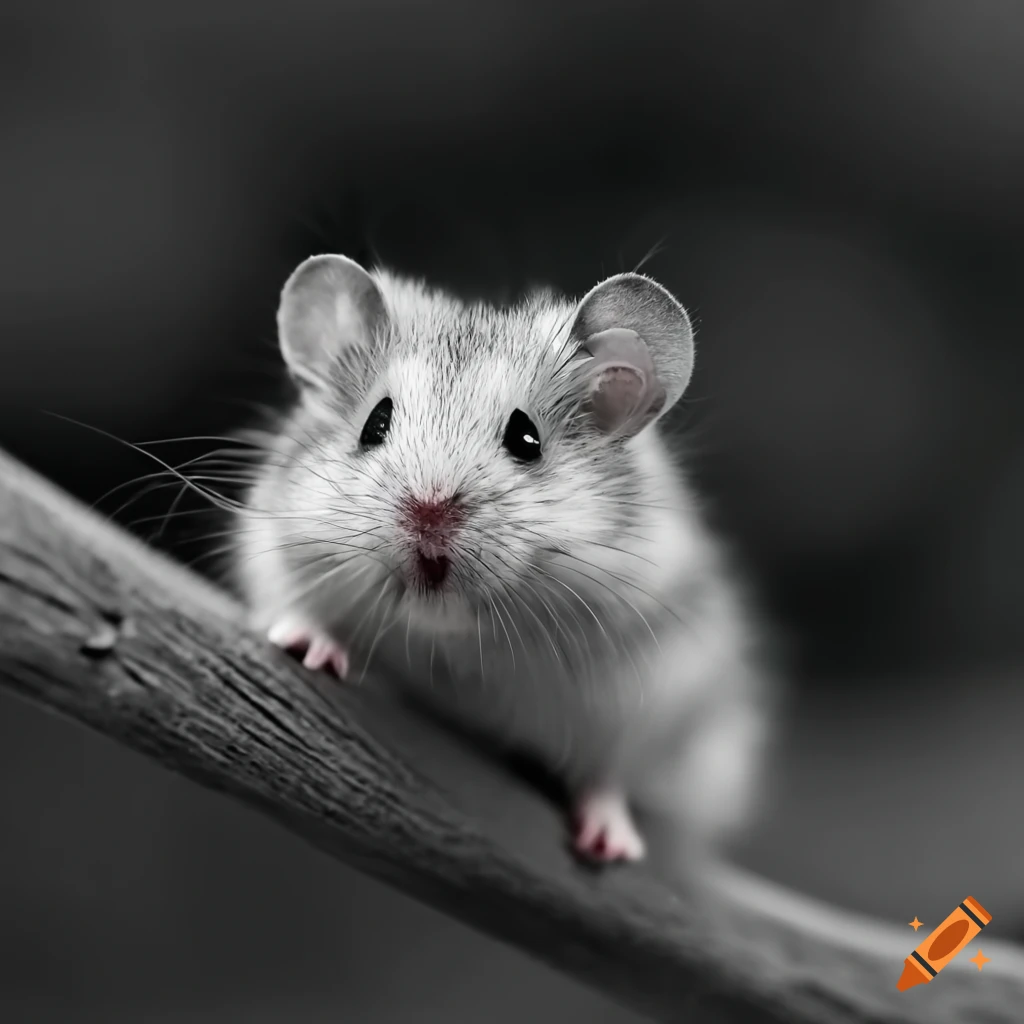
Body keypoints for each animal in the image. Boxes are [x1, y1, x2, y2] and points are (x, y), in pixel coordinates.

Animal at [233, 253, 771, 864]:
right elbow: (298, 608)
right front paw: (310, 647)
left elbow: (608, 773)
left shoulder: (660, 677)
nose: (428, 512)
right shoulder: (272, 548)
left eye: (526, 438)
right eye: (376, 422)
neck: (451, 643)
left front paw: (609, 846)